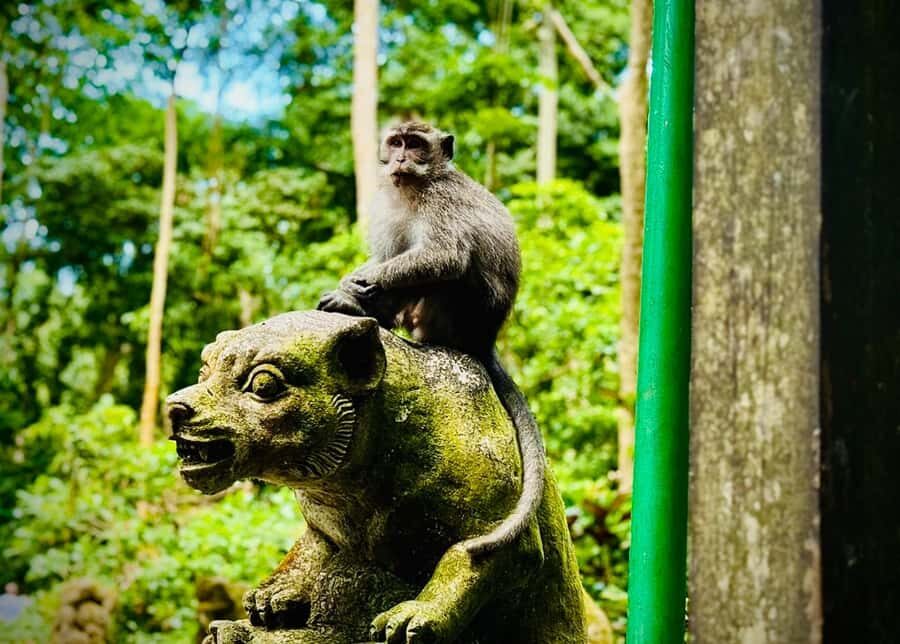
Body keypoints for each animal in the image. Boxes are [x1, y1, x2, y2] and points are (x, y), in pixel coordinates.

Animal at [317, 121, 545, 557]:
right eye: (396, 142)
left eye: (416, 145)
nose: (402, 158)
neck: (414, 189)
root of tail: (484, 340)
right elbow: (390, 251)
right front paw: (355, 283)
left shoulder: (442, 203)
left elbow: (445, 256)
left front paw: (361, 280)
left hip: (462, 312)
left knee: (449, 271)